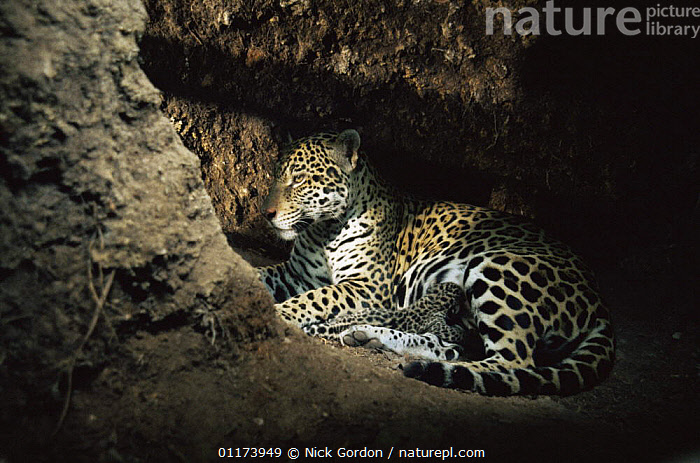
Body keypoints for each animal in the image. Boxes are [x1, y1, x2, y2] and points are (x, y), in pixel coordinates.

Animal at [257, 129, 614, 396]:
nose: (266, 213)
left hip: (496, 266)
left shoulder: (368, 287)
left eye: (299, 179)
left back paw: (437, 369)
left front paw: (281, 313)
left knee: (513, 363)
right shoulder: (294, 274)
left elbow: (315, 298)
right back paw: (368, 336)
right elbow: (264, 276)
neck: (322, 230)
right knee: (459, 345)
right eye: (275, 175)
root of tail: (600, 298)